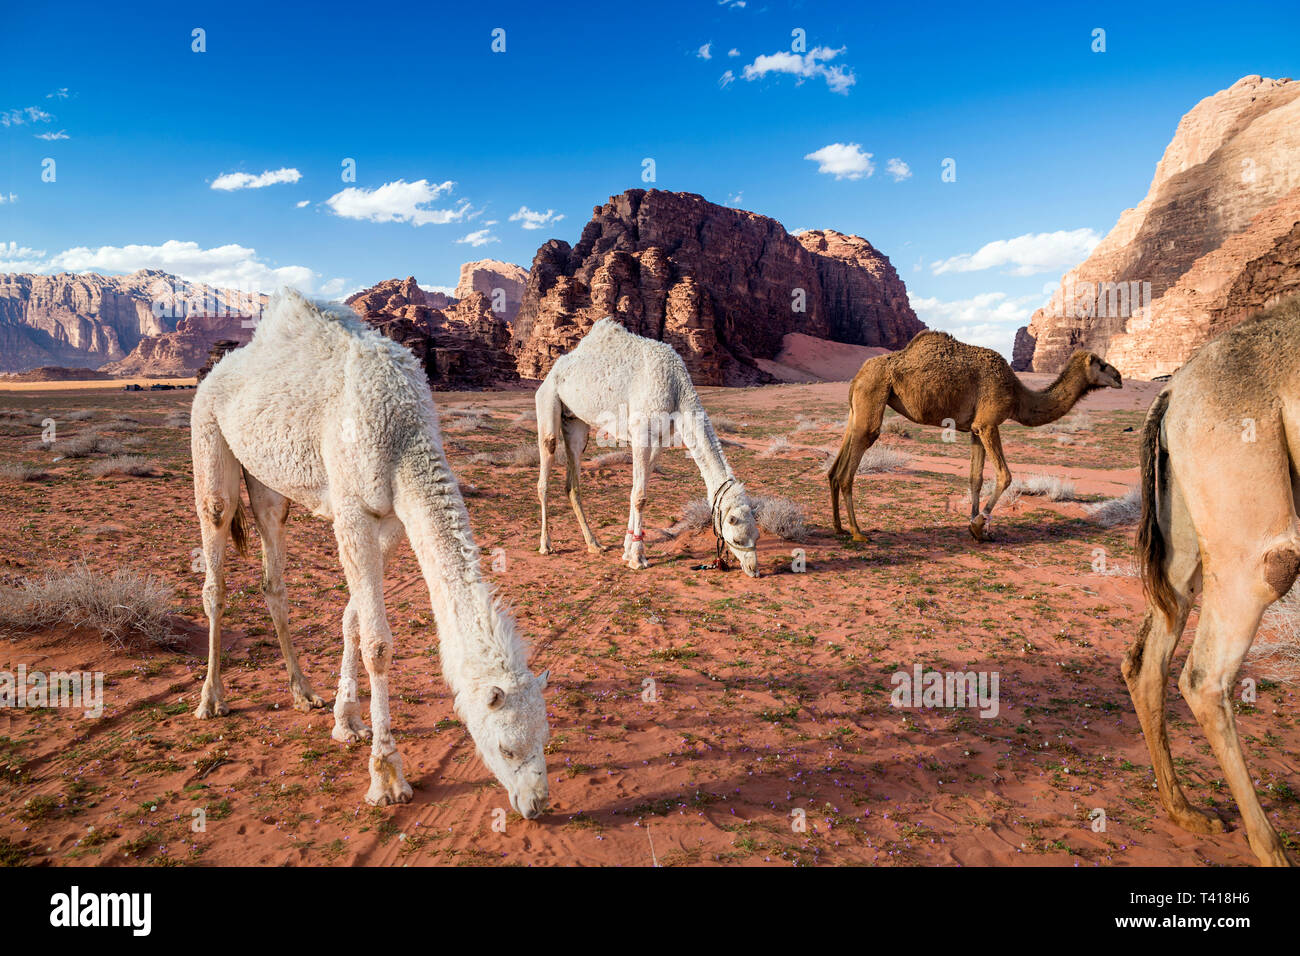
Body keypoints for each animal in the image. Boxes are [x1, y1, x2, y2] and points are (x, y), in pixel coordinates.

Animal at [189, 290, 551, 815]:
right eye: (506, 747)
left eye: (545, 737)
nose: (536, 802)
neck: (402, 434)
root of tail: (214, 373)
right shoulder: (351, 511)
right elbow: (378, 644)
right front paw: (386, 775)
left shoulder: (392, 519)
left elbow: (353, 619)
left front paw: (346, 721)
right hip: (208, 437)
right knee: (214, 567)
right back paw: (211, 699)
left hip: (268, 484)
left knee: (273, 576)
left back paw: (304, 693)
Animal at [535, 317, 761, 576]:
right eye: (738, 539)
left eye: (757, 536)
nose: (754, 569)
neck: (677, 389)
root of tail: (554, 371)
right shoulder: (641, 433)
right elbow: (640, 496)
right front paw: (638, 558)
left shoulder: (659, 439)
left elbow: (636, 490)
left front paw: (627, 549)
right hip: (548, 398)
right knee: (547, 459)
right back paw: (546, 545)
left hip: (576, 422)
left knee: (573, 479)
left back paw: (594, 544)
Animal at [828, 331, 1121, 541]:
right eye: (1102, 364)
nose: (1119, 377)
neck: (1018, 395)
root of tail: (858, 375)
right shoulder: (989, 423)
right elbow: (1004, 476)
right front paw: (980, 526)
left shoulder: (975, 429)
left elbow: (975, 478)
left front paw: (972, 525)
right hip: (874, 392)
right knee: (850, 467)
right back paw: (857, 532)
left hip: (858, 406)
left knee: (835, 468)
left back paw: (839, 528)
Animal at [1125, 296, 1300, 867]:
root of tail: (1173, 389)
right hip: (1247, 505)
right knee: (1203, 676)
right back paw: (1270, 847)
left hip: (1184, 520)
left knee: (1149, 652)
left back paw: (1185, 811)